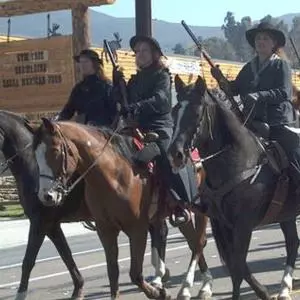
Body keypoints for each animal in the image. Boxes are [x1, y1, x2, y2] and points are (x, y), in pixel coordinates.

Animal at [0, 110, 211, 300]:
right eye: (35, 154)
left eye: (55, 151)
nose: (47, 196)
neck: (114, 175)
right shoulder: (95, 229)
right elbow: (102, 268)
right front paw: (79, 289)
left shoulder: (136, 229)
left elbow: (29, 261)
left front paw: (158, 292)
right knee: (190, 241)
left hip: (197, 208)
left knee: (198, 241)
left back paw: (198, 286)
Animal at [168, 76, 300, 300]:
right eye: (174, 111)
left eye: (196, 112)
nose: (175, 154)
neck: (241, 160)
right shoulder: (223, 224)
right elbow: (236, 266)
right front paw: (264, 292)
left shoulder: (243, 225)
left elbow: (238, 268)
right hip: (286, 214)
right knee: (292, 243)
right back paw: (283, 288)